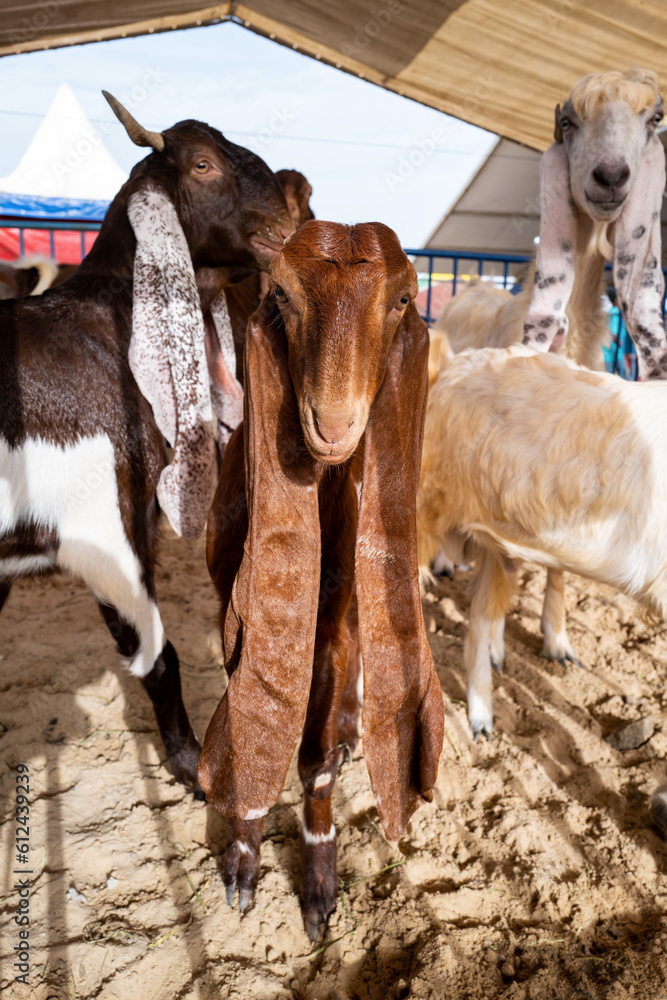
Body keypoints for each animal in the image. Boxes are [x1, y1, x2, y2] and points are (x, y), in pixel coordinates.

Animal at [200, 220, 445, 939]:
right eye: (281, 294)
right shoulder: (236, 613)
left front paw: (318, 884)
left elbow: (315, 762)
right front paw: (242, 864)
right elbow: (253, 721)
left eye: (402, 298)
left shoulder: (336, 629)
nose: (333, 425)